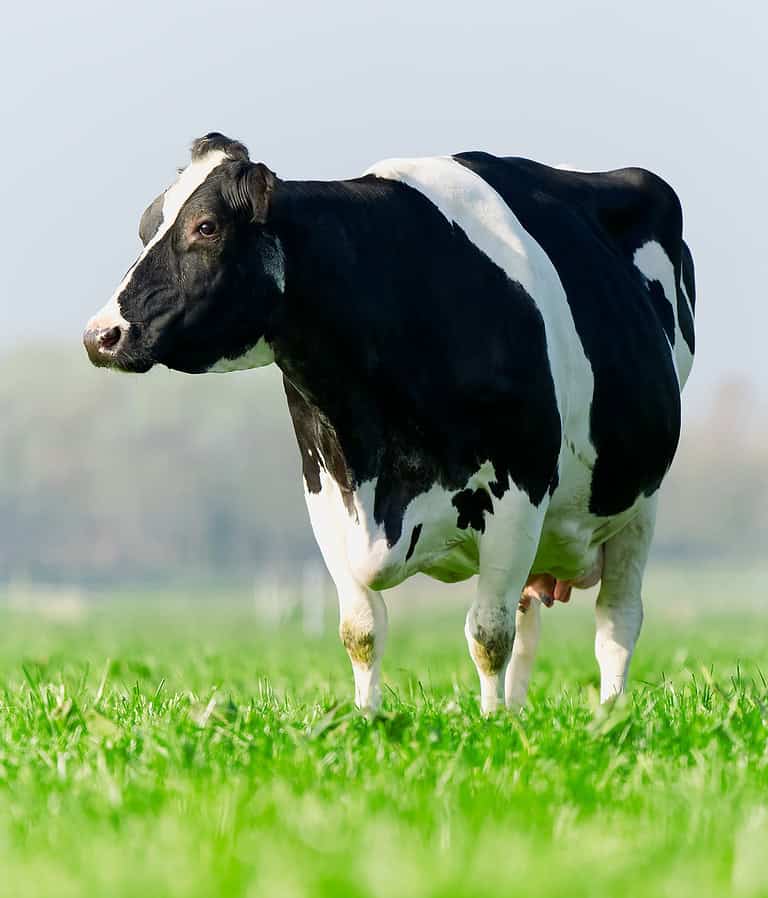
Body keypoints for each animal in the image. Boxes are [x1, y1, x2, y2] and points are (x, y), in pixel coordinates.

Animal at [84, 133, 695, 714]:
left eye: (206, 227)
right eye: (147, 227)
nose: (100, 335)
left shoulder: (519, 491)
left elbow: (487, 635)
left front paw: (489, 723)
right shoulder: (328, 495)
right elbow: (361, 630)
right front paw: (367, 715)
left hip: (641, 501)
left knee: (616, 621)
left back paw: (607, 712)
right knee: (529, 622)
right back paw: (521, 709)